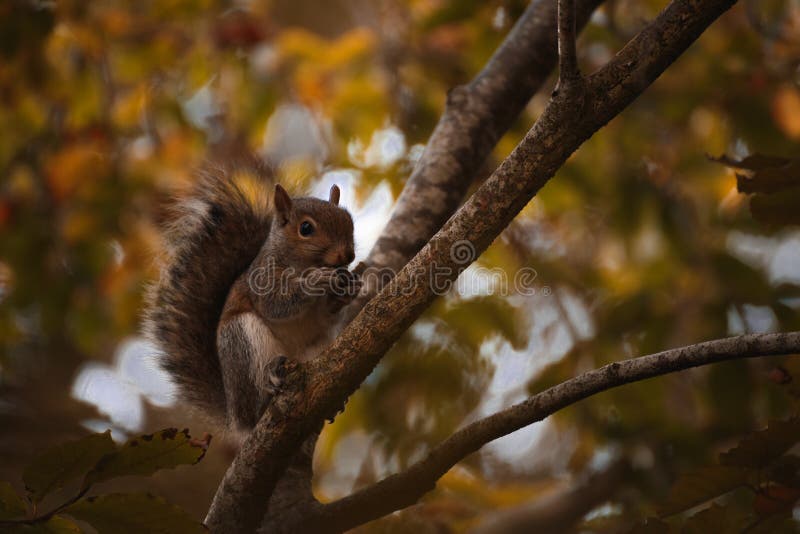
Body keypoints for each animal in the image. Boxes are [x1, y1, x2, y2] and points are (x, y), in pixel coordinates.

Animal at [144, 159, 360, 434]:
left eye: (348, 220)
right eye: (306, 228)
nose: (348, 255)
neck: (300, 263)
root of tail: (235, 418)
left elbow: (328, 314)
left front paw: (350, 286)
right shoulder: (261, 280)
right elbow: (276, 304)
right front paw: (317, 280)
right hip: (241, 339)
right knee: (255, 401)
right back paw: (265, 395)